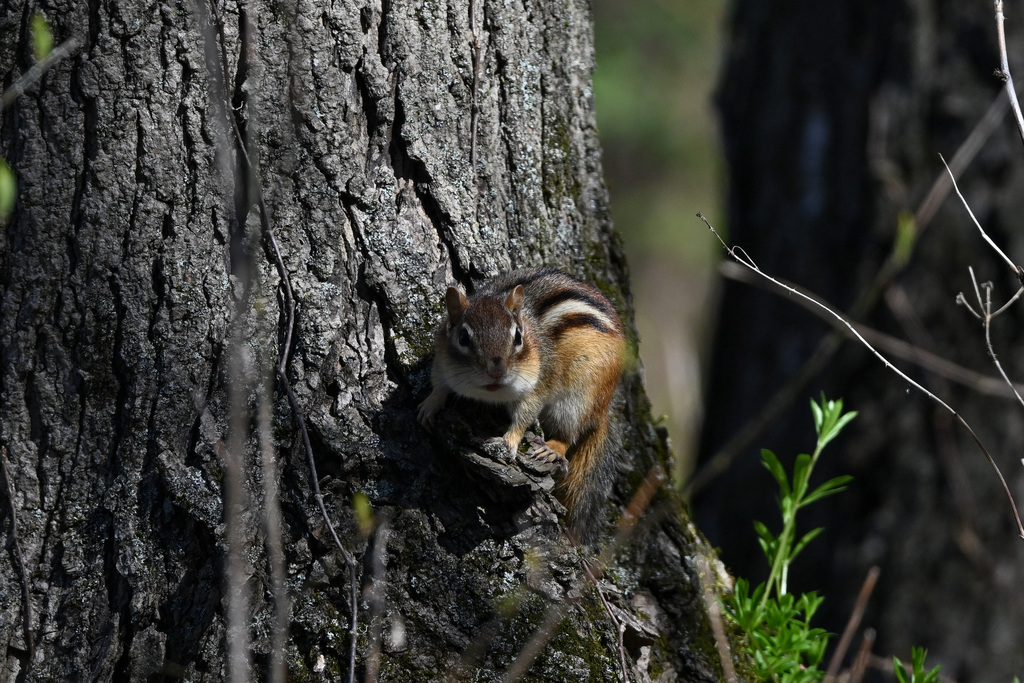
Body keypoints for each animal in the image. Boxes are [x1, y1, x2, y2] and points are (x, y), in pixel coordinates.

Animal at [418, 267, 626, 541]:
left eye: (517, 336)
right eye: (463, 337)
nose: (496, 371)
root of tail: (603, 409)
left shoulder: (539, 382)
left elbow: (525, 415)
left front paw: (510, 440)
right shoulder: (441, 359)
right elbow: (440, 384)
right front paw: (430, 404)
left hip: (579, 398)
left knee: (569, 433)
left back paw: (553, 448)